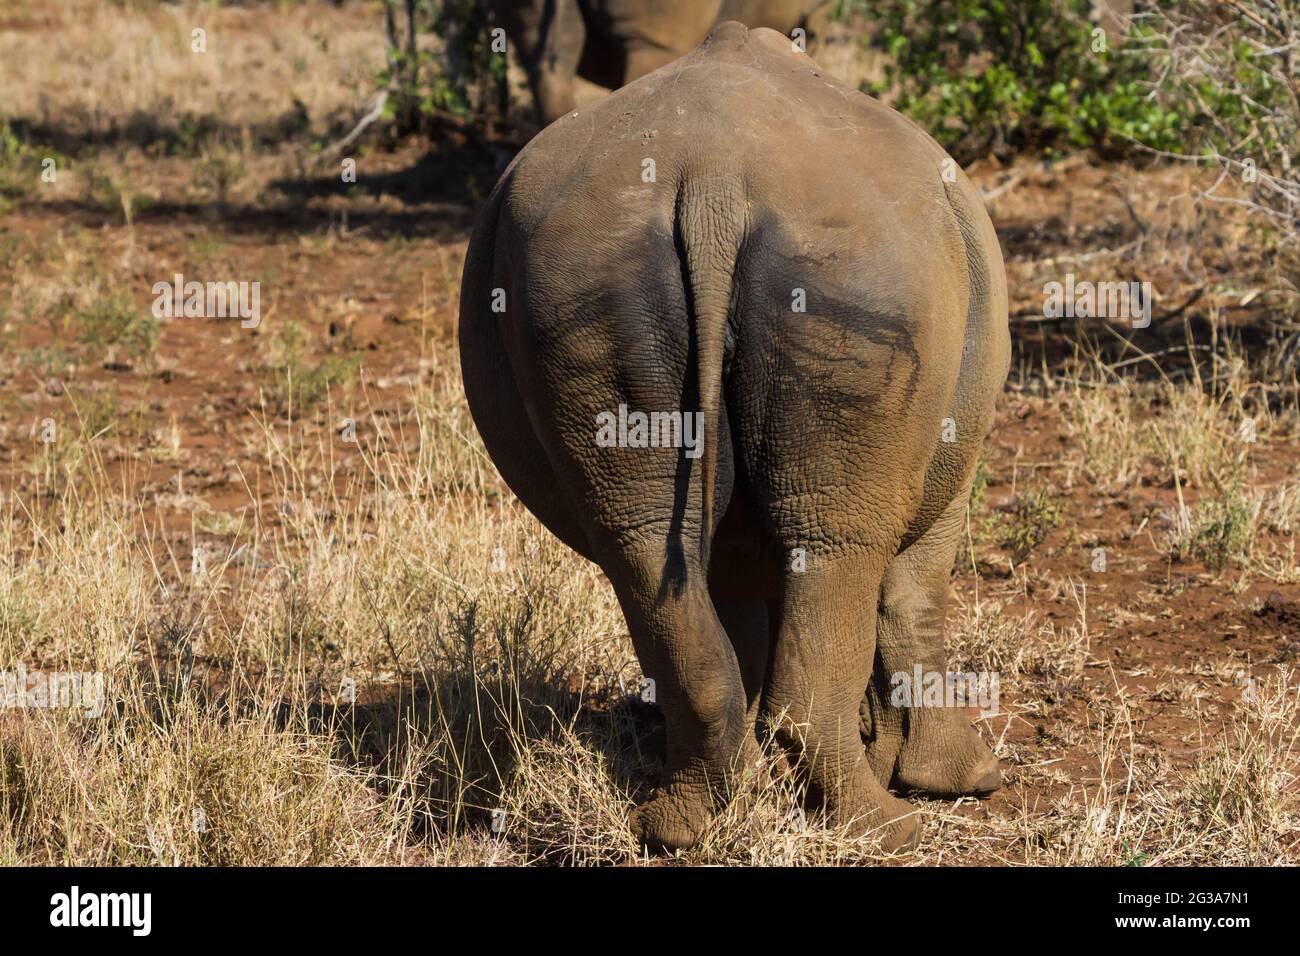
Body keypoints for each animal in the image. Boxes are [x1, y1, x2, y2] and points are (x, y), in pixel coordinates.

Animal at [460, 21, 1010, 852]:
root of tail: (713, 179)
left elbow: (741, 593)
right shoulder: (951, 468)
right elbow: (915, 596)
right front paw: (962, 779)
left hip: (580, 269)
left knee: (643, 536)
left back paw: (683, 824)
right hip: (860, 273)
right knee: (839, 539)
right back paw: (885, 829)